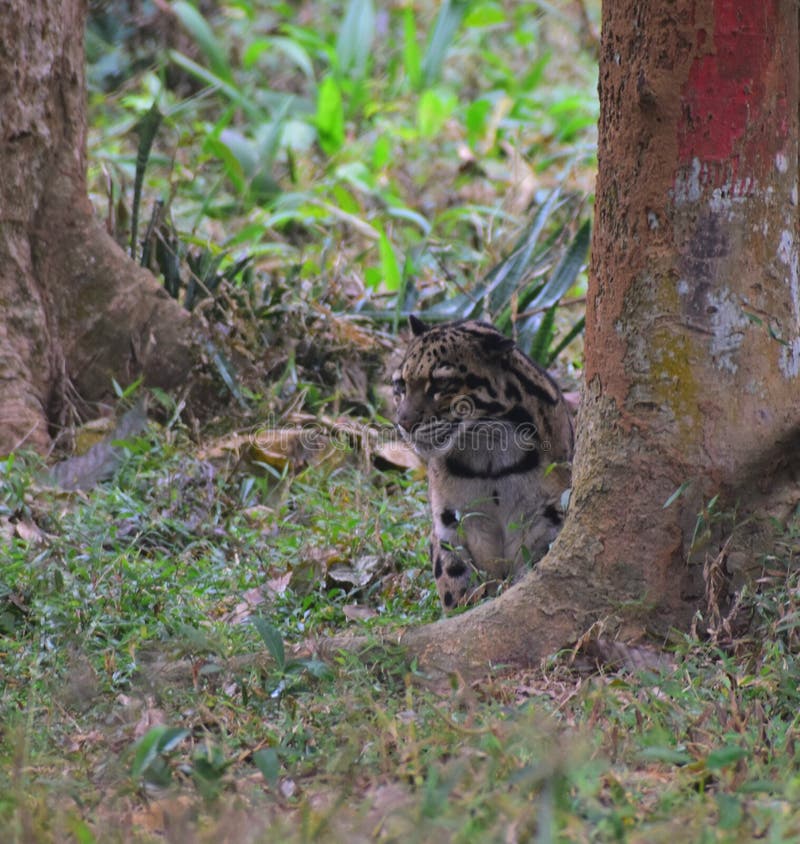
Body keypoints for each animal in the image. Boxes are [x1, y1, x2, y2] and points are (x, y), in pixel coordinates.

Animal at [392, 315, 574, 611]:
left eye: (441, 385)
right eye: (400, 385)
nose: (403, 423)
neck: (489, 452)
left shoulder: (546, 515)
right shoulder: (448, 523)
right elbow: (454, 578)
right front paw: (464, 609)